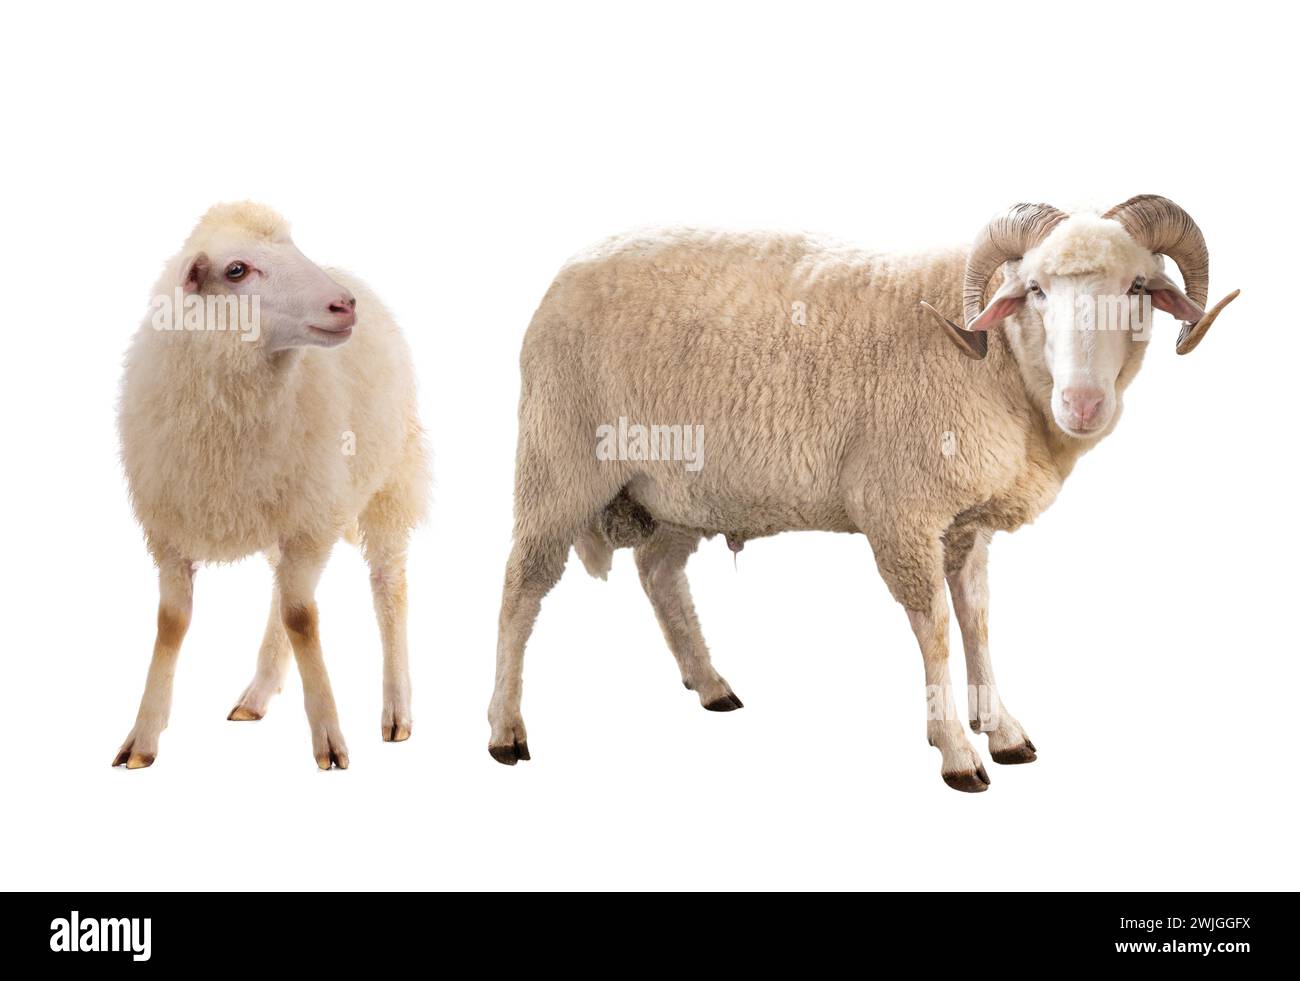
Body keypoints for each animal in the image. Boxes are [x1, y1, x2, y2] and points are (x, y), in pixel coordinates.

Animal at [115, 202, 429, 770]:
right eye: (237, 270)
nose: (344, 305)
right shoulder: (170, 527)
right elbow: (171, 622)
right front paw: (143, 736)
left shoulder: (310, 520)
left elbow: (302, 618)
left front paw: (328, 737)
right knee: (283, 594)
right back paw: (257, 694)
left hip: (389, 479)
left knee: (387, 586)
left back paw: (396, 709)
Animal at [488, 195, 1237, 791]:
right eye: (1035, 290)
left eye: (1139, 285)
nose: (1083, 403)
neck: (995, 361)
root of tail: (564, 272)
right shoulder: (900, 510)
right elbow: (936, 628)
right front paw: (957, 749)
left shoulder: (966, 522)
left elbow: (977, 620)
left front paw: (1000, 728)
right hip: (559, 460)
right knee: (522, 587)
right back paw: (505, 729)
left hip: (676, 487)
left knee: (659, 573)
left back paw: (711, 685)